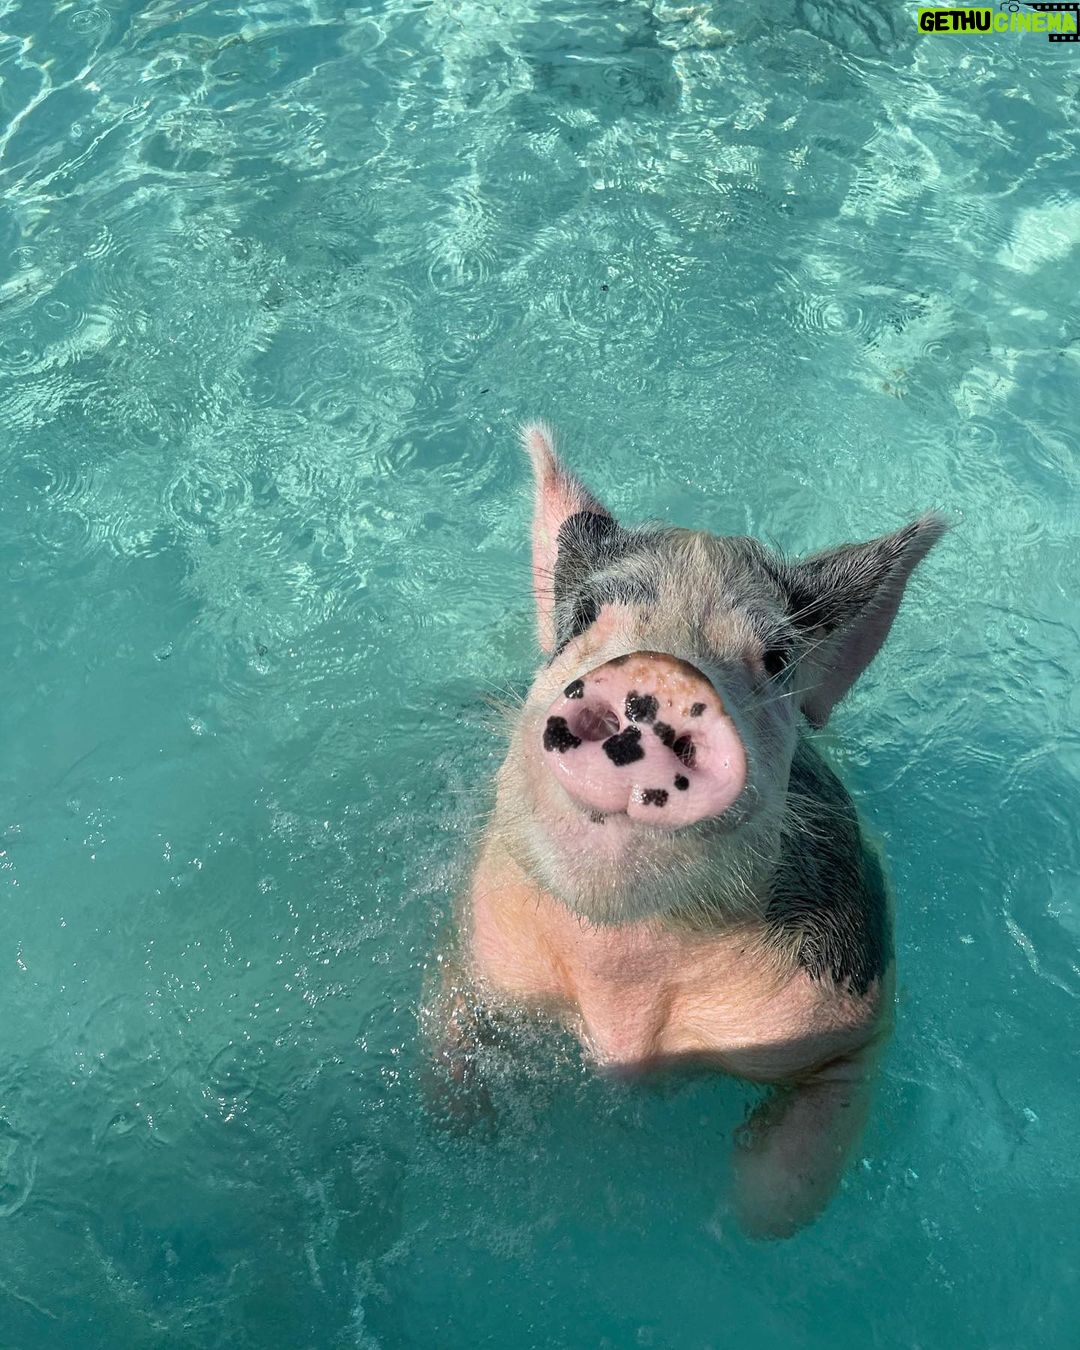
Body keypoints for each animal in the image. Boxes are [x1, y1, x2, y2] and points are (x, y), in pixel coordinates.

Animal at [430, 423, 945, 1239]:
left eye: (776, 659)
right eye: (584, 617)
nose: (659, 675)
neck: (622, 989)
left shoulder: (854, 1014)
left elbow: (790, 1187)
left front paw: (727, 1221)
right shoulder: (483, 950)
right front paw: (464, 1134)